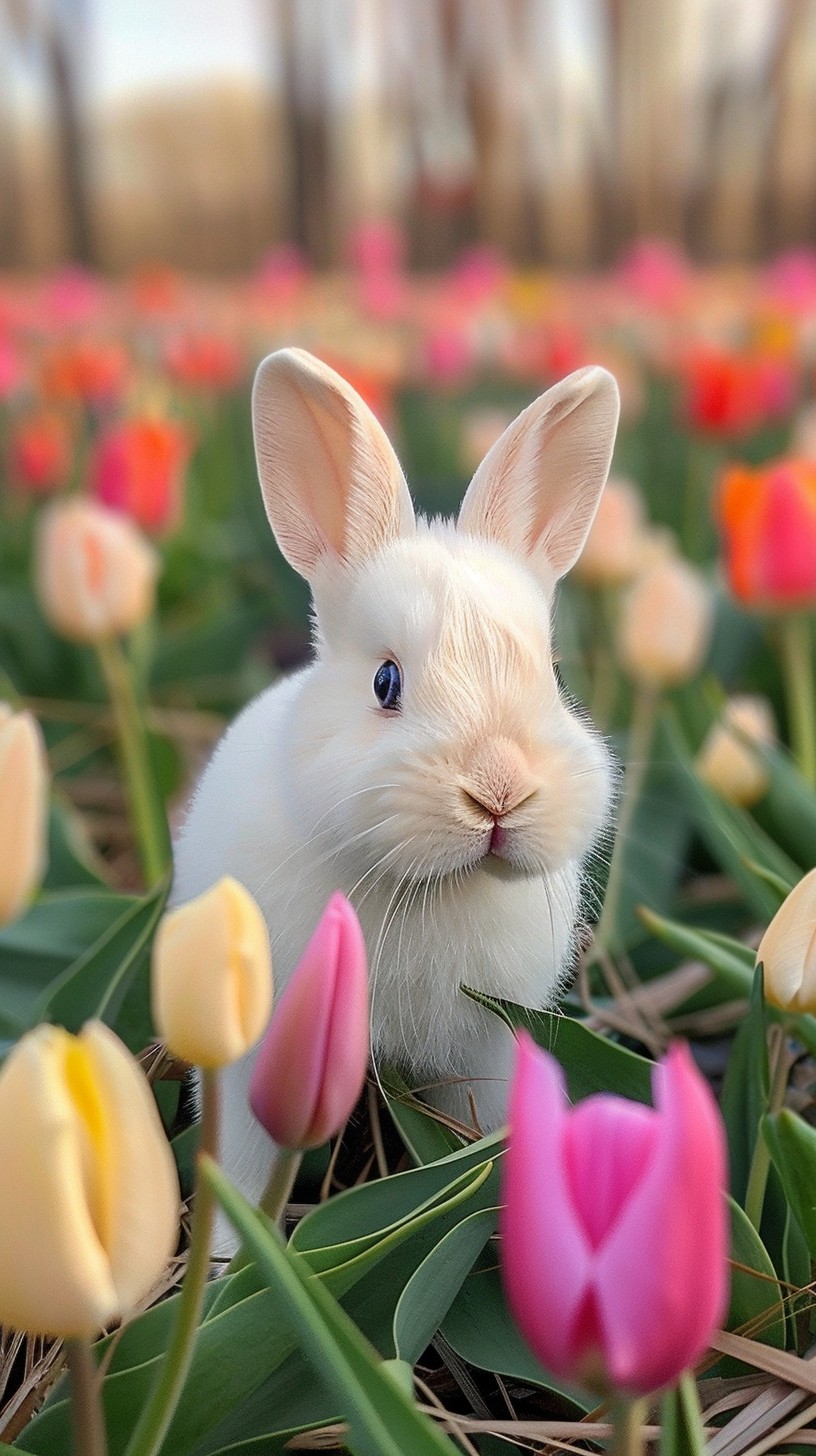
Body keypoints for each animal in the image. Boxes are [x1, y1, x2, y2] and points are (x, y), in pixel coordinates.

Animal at [173, 347, 619, 1231]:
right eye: (386, 683)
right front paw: (237, 1252)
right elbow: (240, 1169)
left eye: (554, 679)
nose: (497, 792)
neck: (433, 888)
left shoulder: (486, 1044)